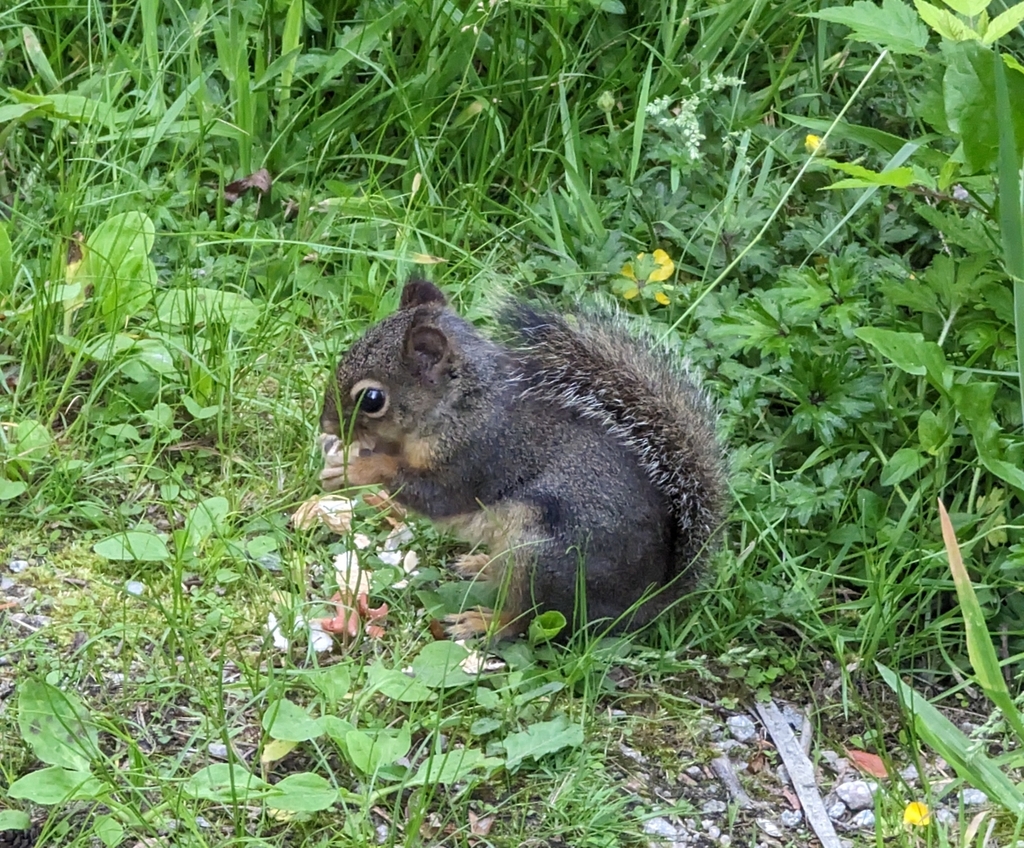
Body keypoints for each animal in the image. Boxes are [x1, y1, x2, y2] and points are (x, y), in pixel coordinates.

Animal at [319, 279, 725, 641]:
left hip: (539, 557)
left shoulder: (480, 454)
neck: (460, 402)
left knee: (529, 618)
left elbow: (435, 495)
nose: (326, 423)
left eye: (372, 399)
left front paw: (358, 468)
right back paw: (480, 565)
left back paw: (484, 622)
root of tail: (644, 602)